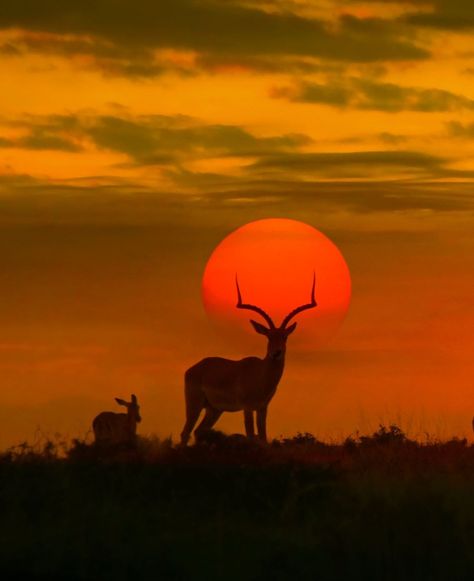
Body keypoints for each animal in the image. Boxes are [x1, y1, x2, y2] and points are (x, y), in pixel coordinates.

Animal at [181, 274, 318, 444]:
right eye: (268, 336)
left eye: (285, 336)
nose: (276, 353)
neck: (261, 376)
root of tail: (195, 368)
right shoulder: (247, 407)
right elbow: (251, 435)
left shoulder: (262, 408)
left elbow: (263, 436)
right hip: (195, 404)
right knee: (185, 432)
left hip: (215, 409)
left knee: (199, 431)